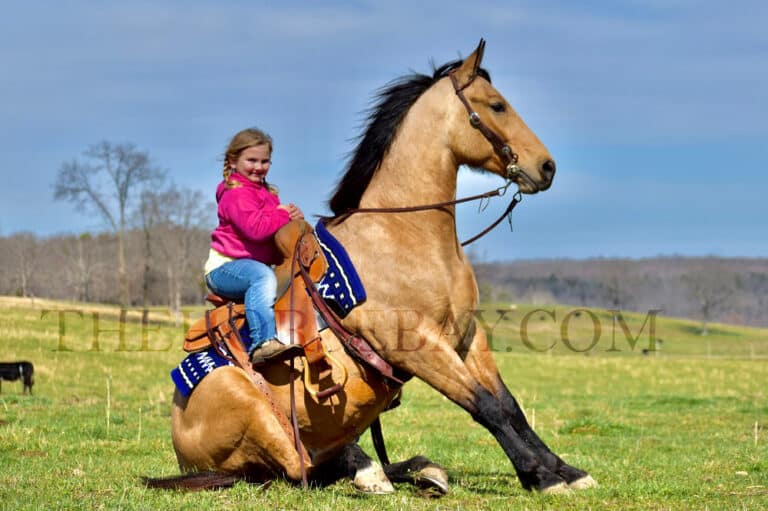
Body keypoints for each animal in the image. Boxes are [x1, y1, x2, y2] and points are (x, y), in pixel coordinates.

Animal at [149, 40, 596, 495]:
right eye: (497, 105)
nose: (546, 166)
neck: (405, 236)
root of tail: (181, 440)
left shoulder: (468, 337)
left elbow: (509, 405)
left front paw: (567, 471)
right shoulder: (416, 346)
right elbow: (484, 406)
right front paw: (541, 476)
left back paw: (416, 469)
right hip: (254, 412)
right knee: (301, 465)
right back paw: (372, 472)